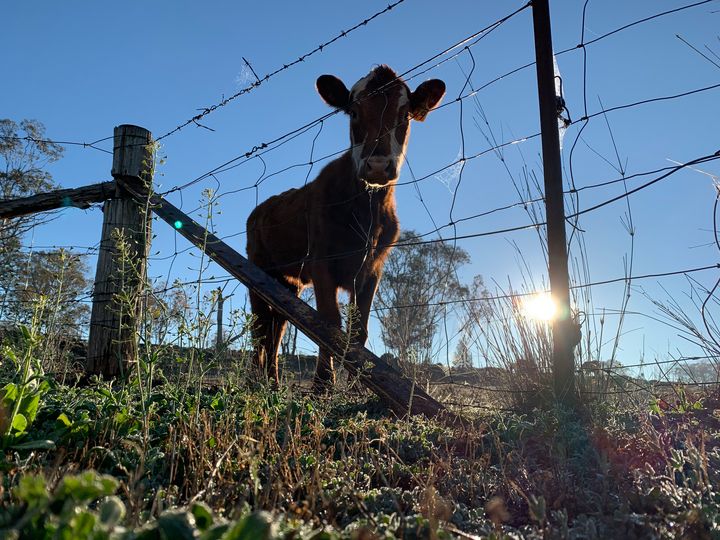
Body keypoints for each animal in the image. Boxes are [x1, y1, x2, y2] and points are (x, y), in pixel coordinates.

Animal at [246, 64, 445, 391]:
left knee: (277, 325)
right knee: (261, 325)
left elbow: (357, 329)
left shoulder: (372, 269)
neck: (366, 212)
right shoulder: (321, 261)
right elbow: (329, 323)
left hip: (287, 281)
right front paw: (322, 386)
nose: (377, 165)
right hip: (258, 269)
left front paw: (357, 387)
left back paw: (272, 381)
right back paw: (256, 380)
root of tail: (261, 208)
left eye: (404, 114)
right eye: (353, 111)